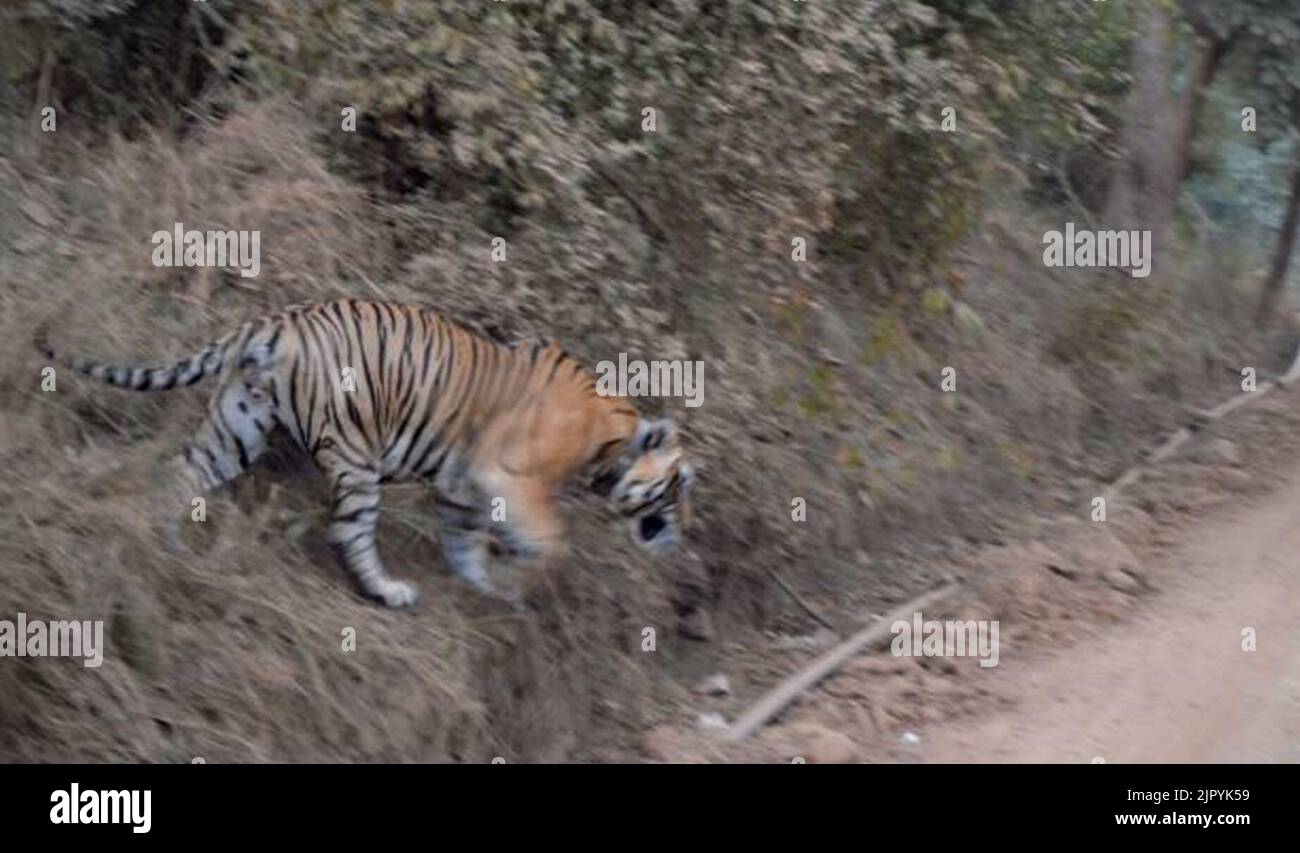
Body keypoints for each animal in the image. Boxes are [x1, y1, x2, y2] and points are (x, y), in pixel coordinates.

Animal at [35, 299, 695, 608]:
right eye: (680, 485)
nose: (681, 535)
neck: (608, 439)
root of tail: (274, 322)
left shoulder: (462, 489)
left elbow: (466, 545)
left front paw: (487, 585)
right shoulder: (507, 477)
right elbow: (554, 540)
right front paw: (515, 579)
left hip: (236, 426)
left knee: (184, 473)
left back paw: (162, 542)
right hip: (355, 454)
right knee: (347, 530)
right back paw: (388, 591)